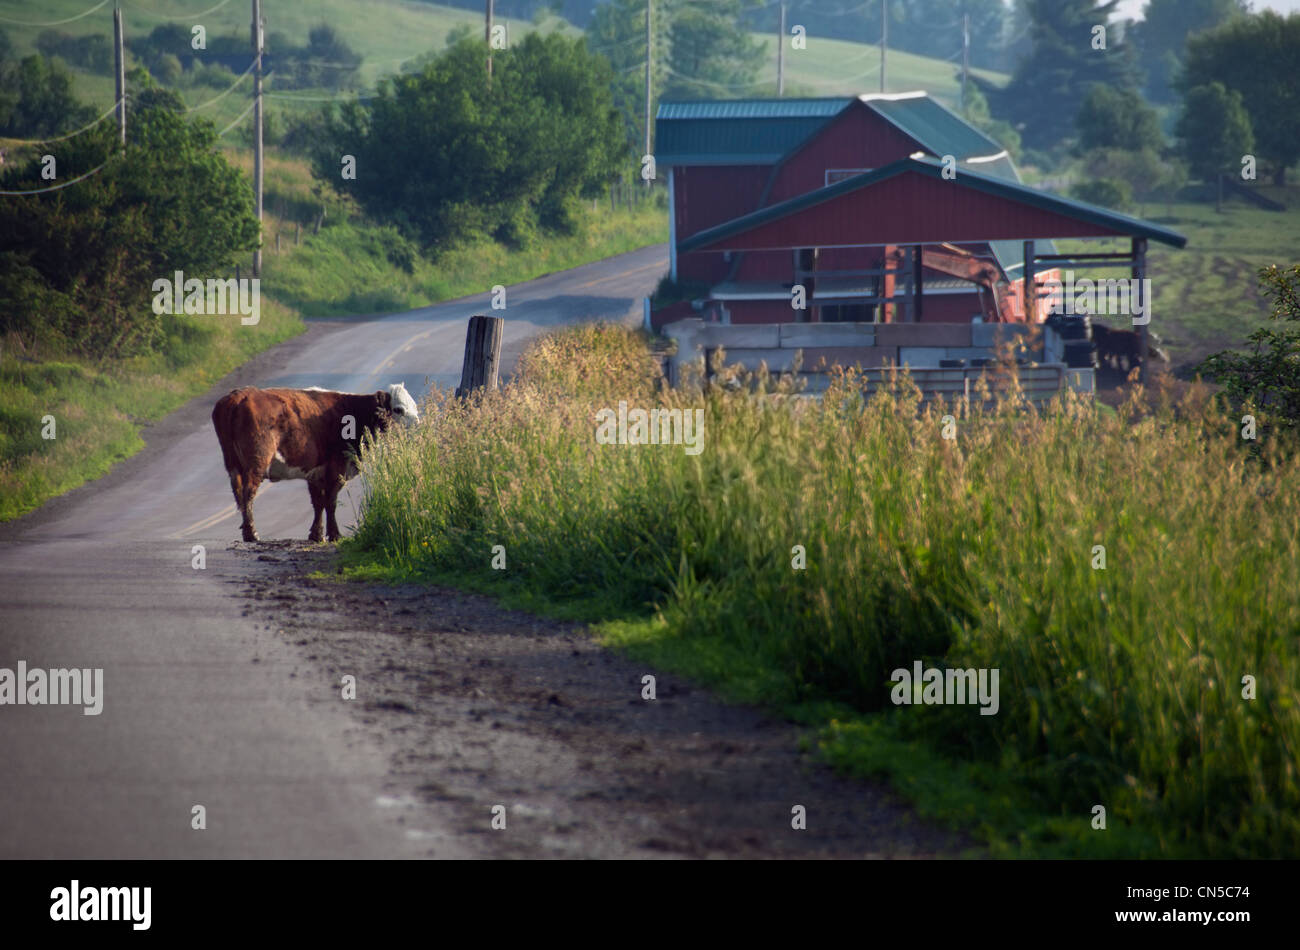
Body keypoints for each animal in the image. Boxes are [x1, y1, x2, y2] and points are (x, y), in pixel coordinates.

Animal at [211, 383, 419, 543]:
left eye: (415, 407)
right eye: (398, 409)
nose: (419, 425)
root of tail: (240, 395)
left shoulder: (315, 472)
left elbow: (318, 503)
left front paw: (316, 535)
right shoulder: (337, 468)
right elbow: (331, 502)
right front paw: (334, 535)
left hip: (232, 463)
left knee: (239, 492)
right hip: (257, 462)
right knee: (248, 493)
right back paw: (252, 533)